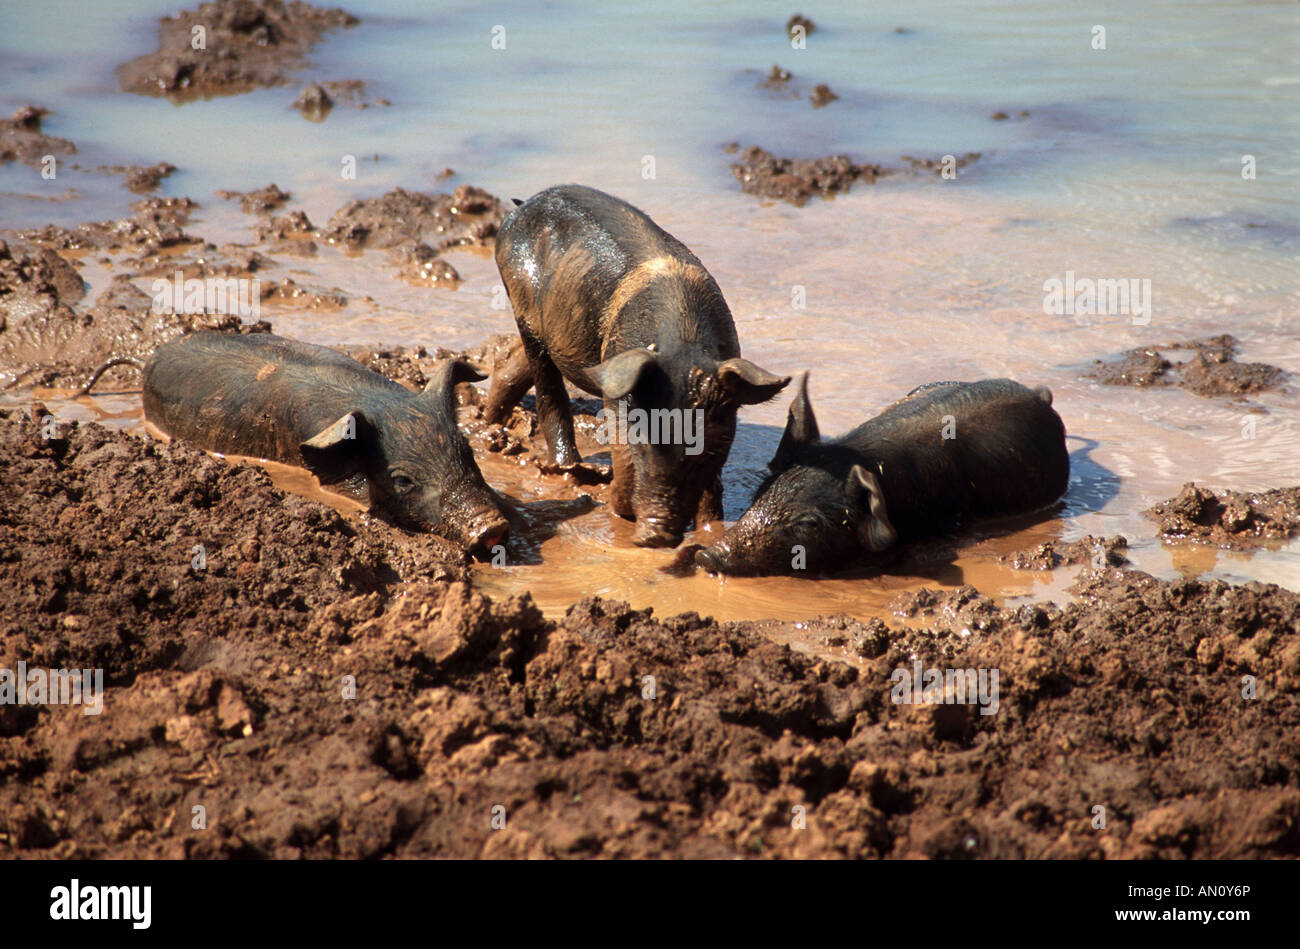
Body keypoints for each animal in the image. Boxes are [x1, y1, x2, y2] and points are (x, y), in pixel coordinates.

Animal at [485, 184, 790, 547]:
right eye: (645, 438)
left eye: (703, 450)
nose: (655, 535)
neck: (683, 349)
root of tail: (524, 204)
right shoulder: (617, 396)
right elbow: (623, 454)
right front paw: (618, 508)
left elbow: (712, 484)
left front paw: (709, 530)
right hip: (522, 306)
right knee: (546, 384)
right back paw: (566, 467)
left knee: (515, 365)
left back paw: (490, 425)